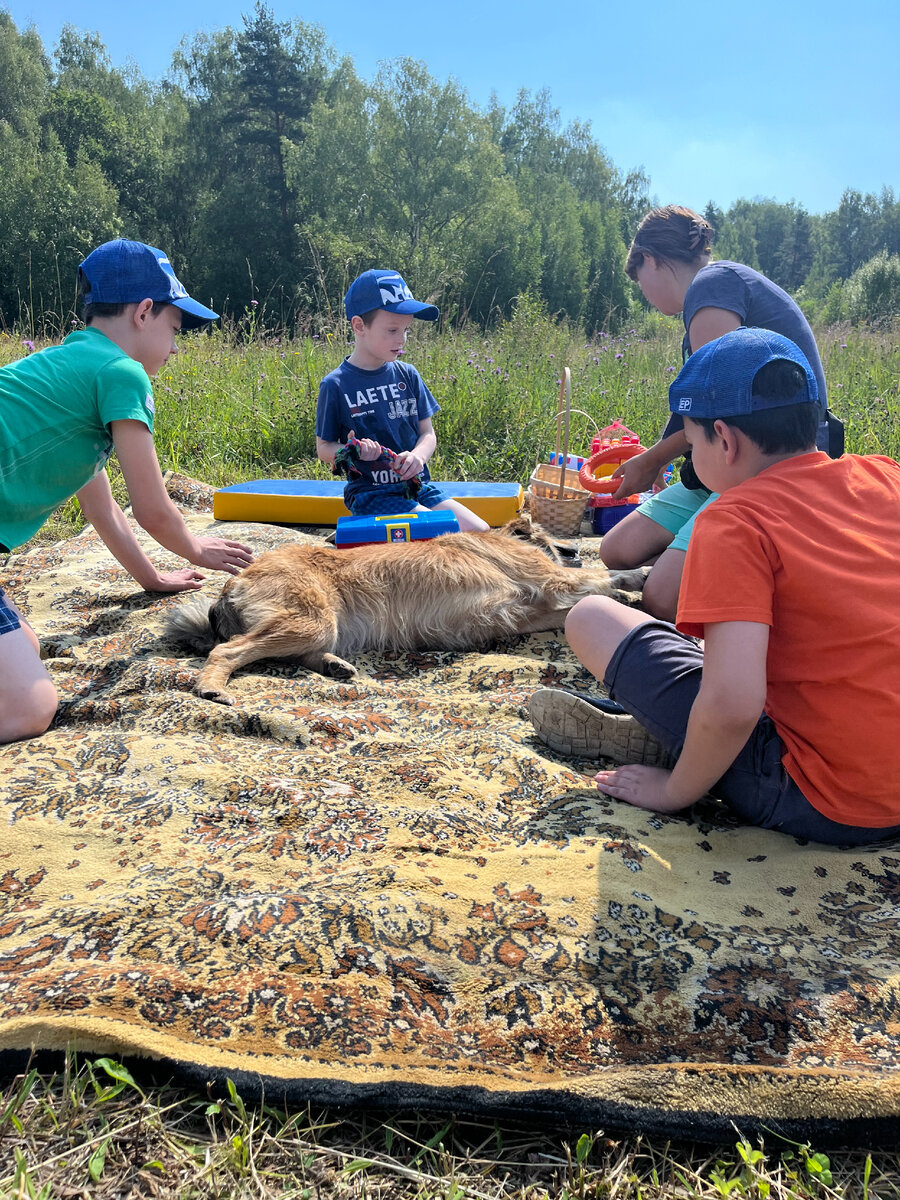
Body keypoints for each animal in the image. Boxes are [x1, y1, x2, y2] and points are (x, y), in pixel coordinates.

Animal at [168, 513, 648, 700]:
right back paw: (211, 687)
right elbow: (600, 576)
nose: (577, 547)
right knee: (227, 650)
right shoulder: (551, 580)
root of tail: (232, 582)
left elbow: (579, 607)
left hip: (317, 626)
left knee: (286, 654)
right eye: (552, 532)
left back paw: (334, 666)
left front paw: (626, 598)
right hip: (309, 619)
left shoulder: (533, 611)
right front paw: (638, 577)